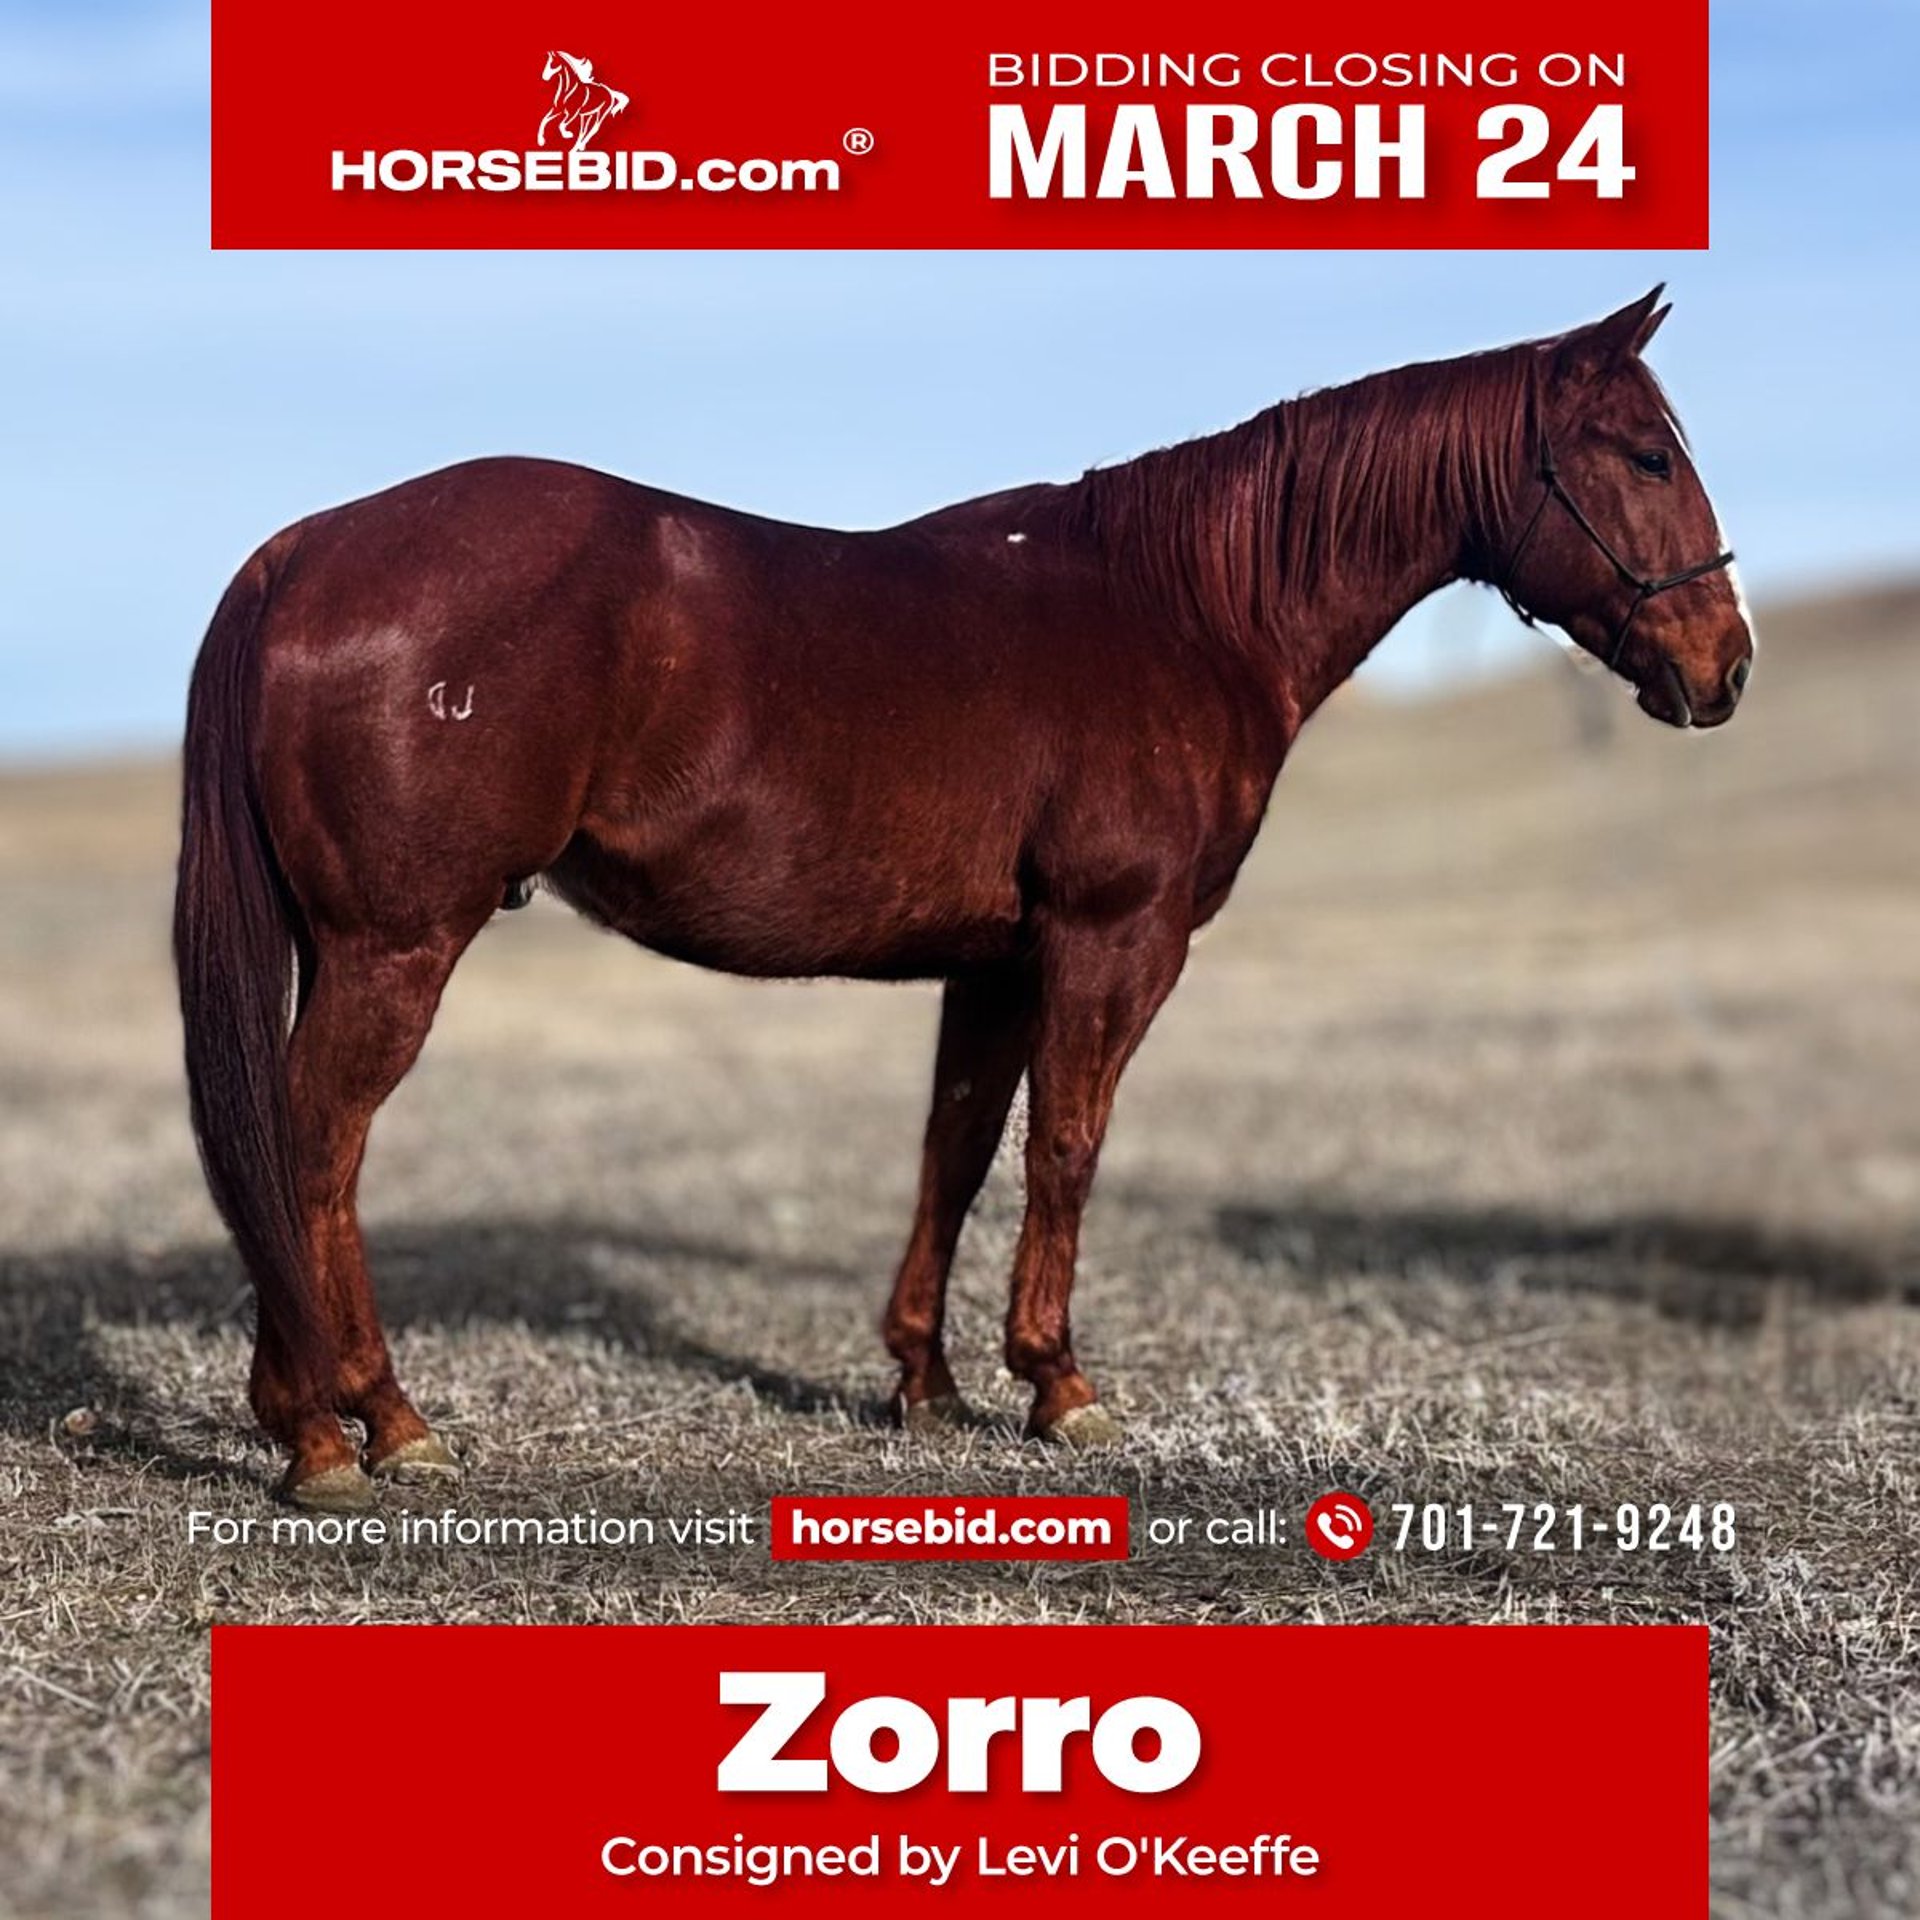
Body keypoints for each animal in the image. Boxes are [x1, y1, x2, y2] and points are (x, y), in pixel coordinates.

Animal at [173, 288, 1751, 1511]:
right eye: (1642, 452)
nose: (1725, 666)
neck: (1181, 609)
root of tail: (304, 550)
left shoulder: (995, 965)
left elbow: (960, 1150)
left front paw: (923, 1381)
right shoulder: (1115, 942)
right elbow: (1069, 1148)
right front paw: (1060, 1386)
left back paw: (348, 1420)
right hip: (396, 948)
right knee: (311, 1150)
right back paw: (350, 1428)